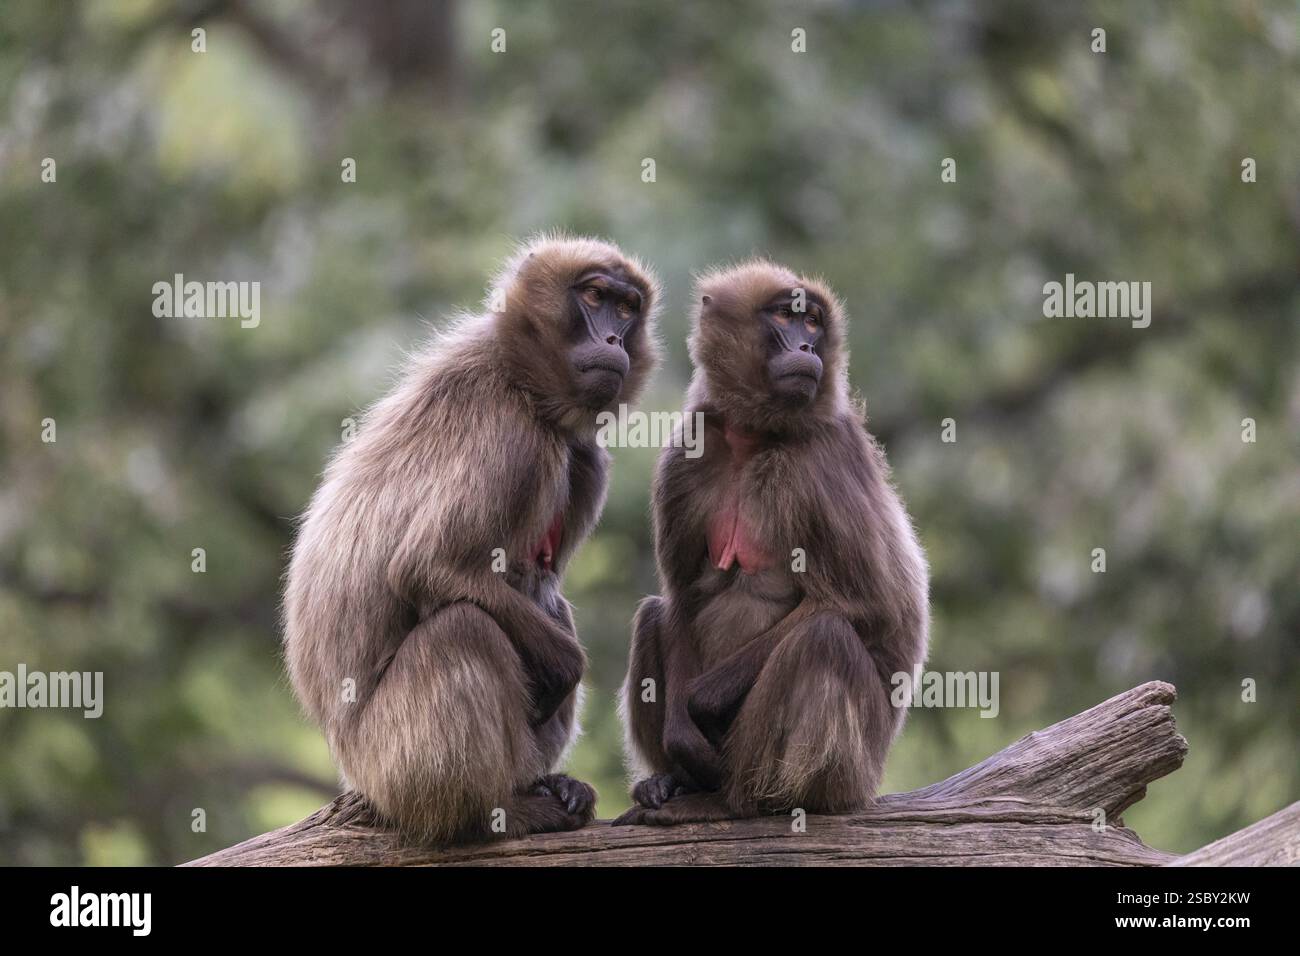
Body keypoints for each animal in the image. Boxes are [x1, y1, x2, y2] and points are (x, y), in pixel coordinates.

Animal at [283, 235, 660, 843]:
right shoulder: (516, 440)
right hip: (390, 762)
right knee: (465, 626)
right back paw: (489, 814)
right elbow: (428, 566)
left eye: (627, 309)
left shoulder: (584, 460)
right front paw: (566, 666)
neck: (519, 374)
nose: (612, 340)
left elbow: (540, 583)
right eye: (595, 296)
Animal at [614, 260, 928, 825]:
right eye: (786, 315)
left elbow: (875, 604)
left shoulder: (825, 456)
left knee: (822, 639)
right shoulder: (687, 452)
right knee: (653, 613)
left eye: (813, 323)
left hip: (850, 768)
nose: (807, 349)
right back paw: (671, 784)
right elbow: (683, 597)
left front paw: (698, 708)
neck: (754, 437)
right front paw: (680, 741)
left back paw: (744, 801)